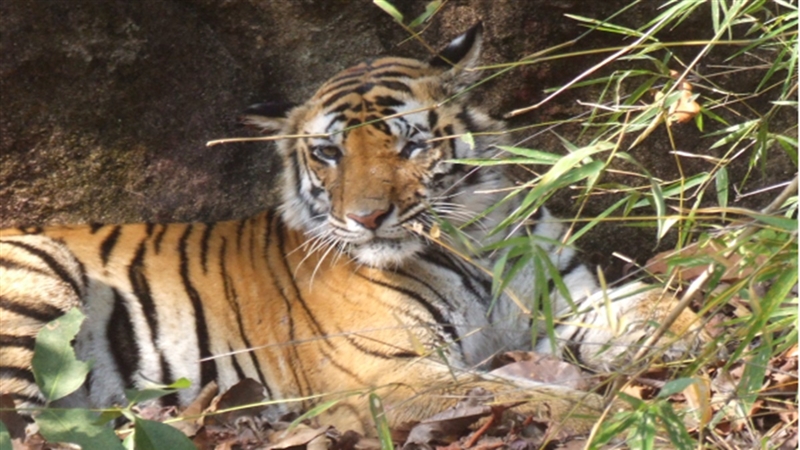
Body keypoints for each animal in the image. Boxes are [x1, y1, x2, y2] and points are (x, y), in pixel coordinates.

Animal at [0, 23, 705, 436]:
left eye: (409, 144)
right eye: (328, 153)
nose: (367, 217)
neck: (472, 238)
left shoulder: (576, 298)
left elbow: (662, 311)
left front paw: (716, 342)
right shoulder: (390, 374)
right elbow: (528, 395)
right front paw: (629, 416)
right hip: (36, 286)